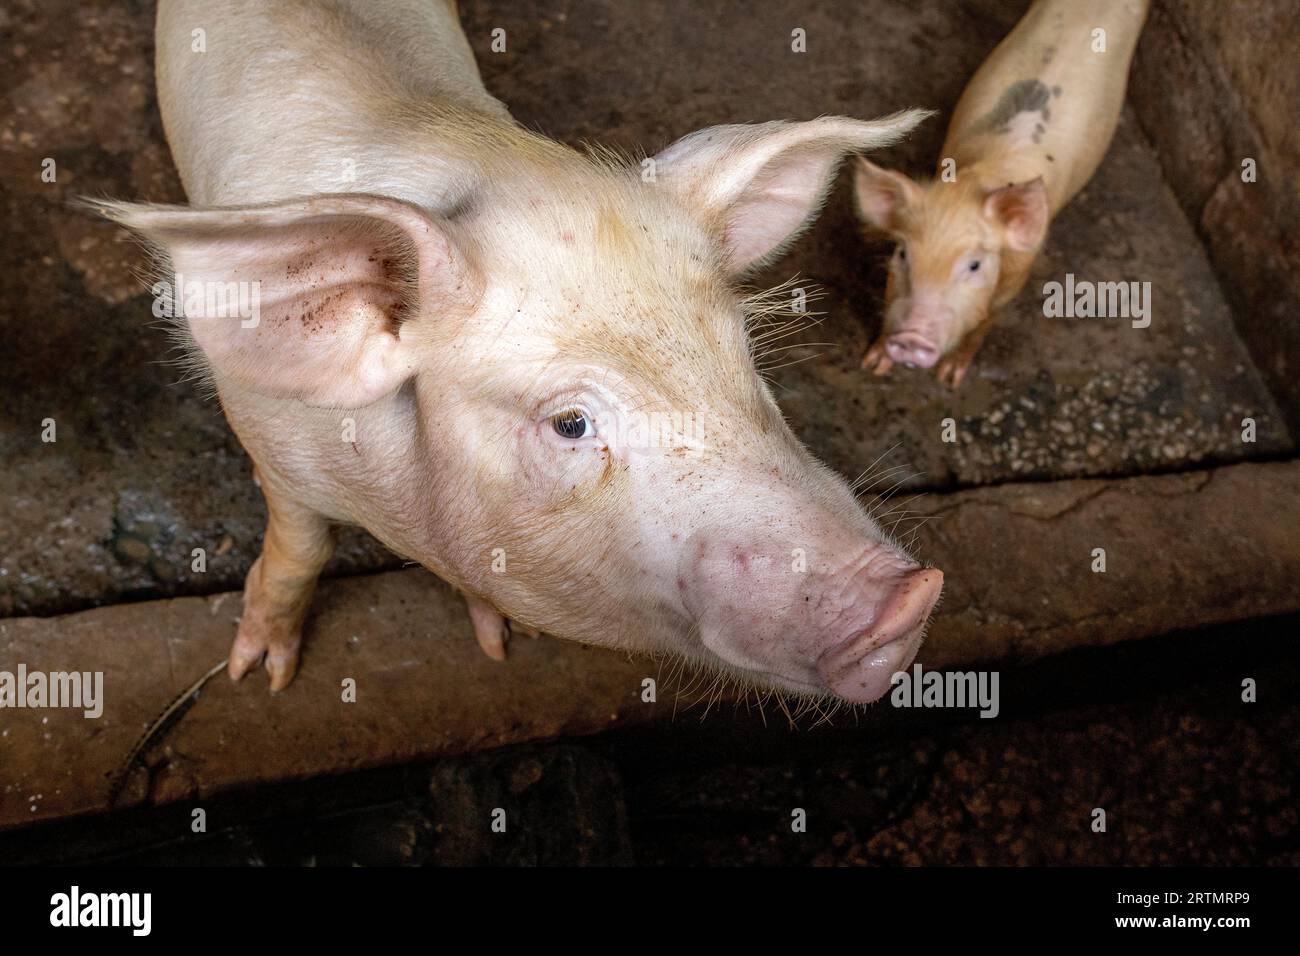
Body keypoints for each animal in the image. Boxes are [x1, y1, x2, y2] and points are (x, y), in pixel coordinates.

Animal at [90, 0, 943, 705]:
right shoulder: (272, 449)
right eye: (570, 423)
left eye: (740, 354)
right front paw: (260, 676)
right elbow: (299, 549)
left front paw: (507, 644)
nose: (913, 597)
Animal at [854, 0, 1150, 387]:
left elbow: (983, 326)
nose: (911, 338)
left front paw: (949, 379)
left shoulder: (1012, 282)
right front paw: (872, 365)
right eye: (903, 254)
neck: (977, 181)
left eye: (975, 265)